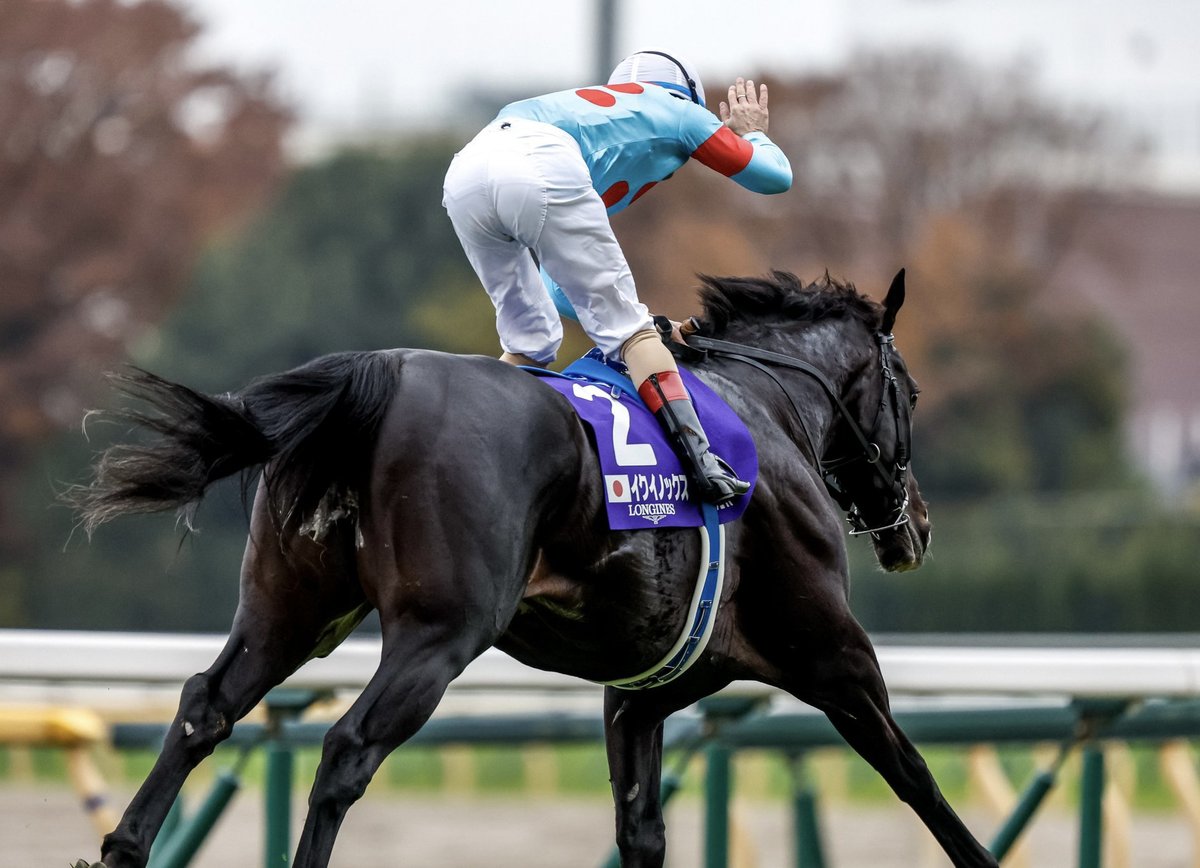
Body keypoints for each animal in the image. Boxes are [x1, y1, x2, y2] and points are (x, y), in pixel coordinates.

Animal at [67, 268, 998, 868]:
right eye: (910, 393)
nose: (913, 526)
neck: (765, 409)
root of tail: (380, 373)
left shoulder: (643, 692)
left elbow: (642, 829)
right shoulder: (834, 655)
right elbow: (917, 779)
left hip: (288, 608)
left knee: (206, 706)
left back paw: (123, 848)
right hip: (442, 631)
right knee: (347, 749)